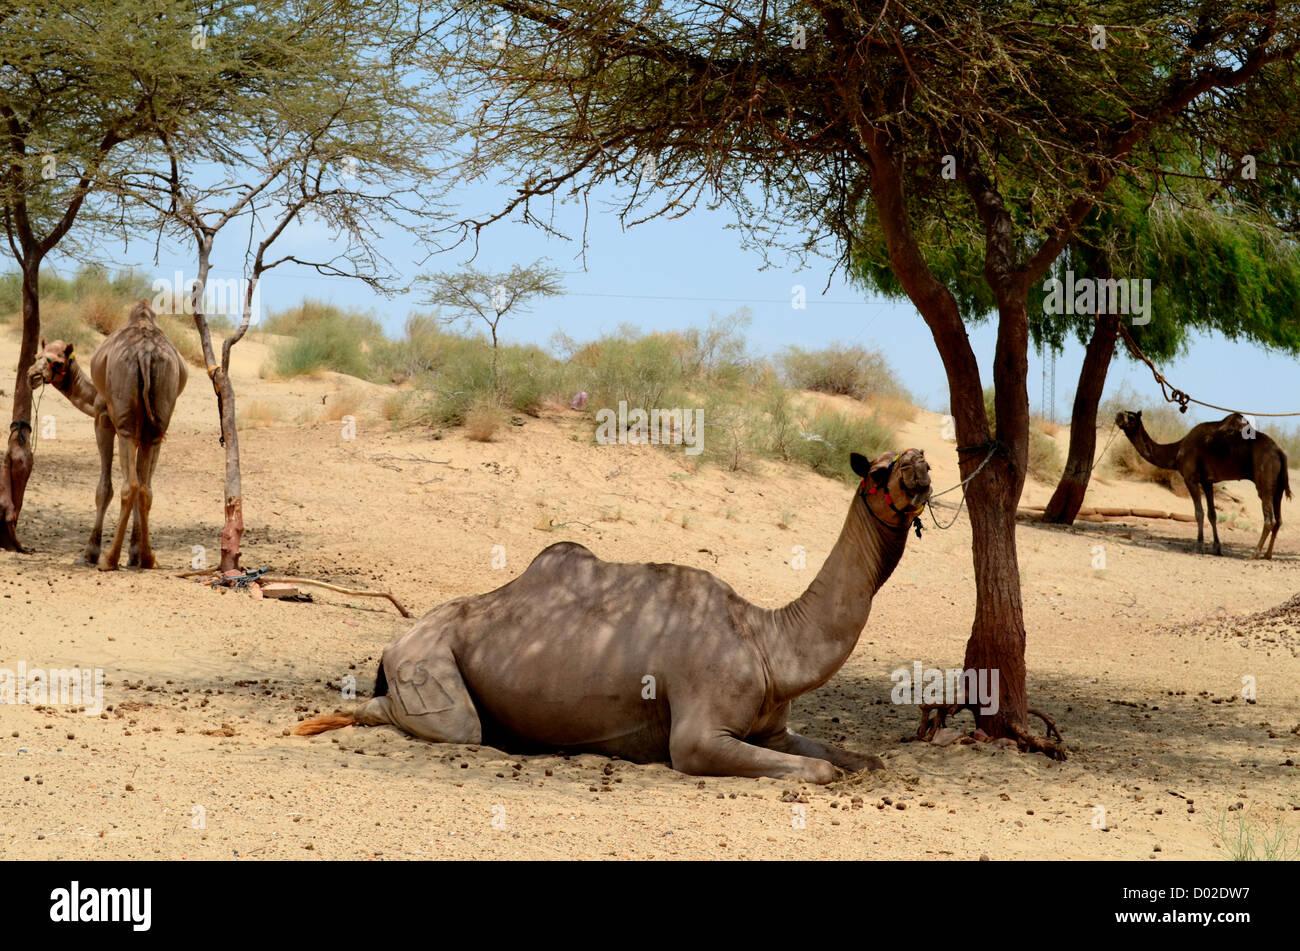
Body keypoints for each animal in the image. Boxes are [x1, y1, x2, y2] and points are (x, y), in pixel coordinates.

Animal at [27, 301, 187, 570]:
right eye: (38, 356)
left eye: (57, 362)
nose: (32, 376)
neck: (92, 398)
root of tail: (145, 352)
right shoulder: (143, 432)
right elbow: (140, 484)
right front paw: (134, 553)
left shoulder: (102, 419)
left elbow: (104, 489)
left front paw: (89, 553)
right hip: (158, 419)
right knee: (145, 488)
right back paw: (148, 558)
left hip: (123, 422)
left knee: (129, 486)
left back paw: (109, 559)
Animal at [293, 448, 932, 783]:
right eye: (878, 471)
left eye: (905, 458)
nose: (922, 463)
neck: (767, 641)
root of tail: (393, 645)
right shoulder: (698, 738)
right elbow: (821, 772)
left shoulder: (774, 729)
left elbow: (862, 759)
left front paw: (868, 759)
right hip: (427, 665)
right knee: (443, 725)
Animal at [1115, 410, 1291, 559]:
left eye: (1131, 417)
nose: (1117, 415)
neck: (1177, 450)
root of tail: (1279, 452)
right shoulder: (1207, 481)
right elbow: (1212, 514)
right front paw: (1217, 548)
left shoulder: (1190, 478)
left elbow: (1198, 512)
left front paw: (1199, 546)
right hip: (1278, 488)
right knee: (1279, 520)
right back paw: (1267, 555)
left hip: (1264, 478)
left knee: (1270, 519)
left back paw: (1254, 553)